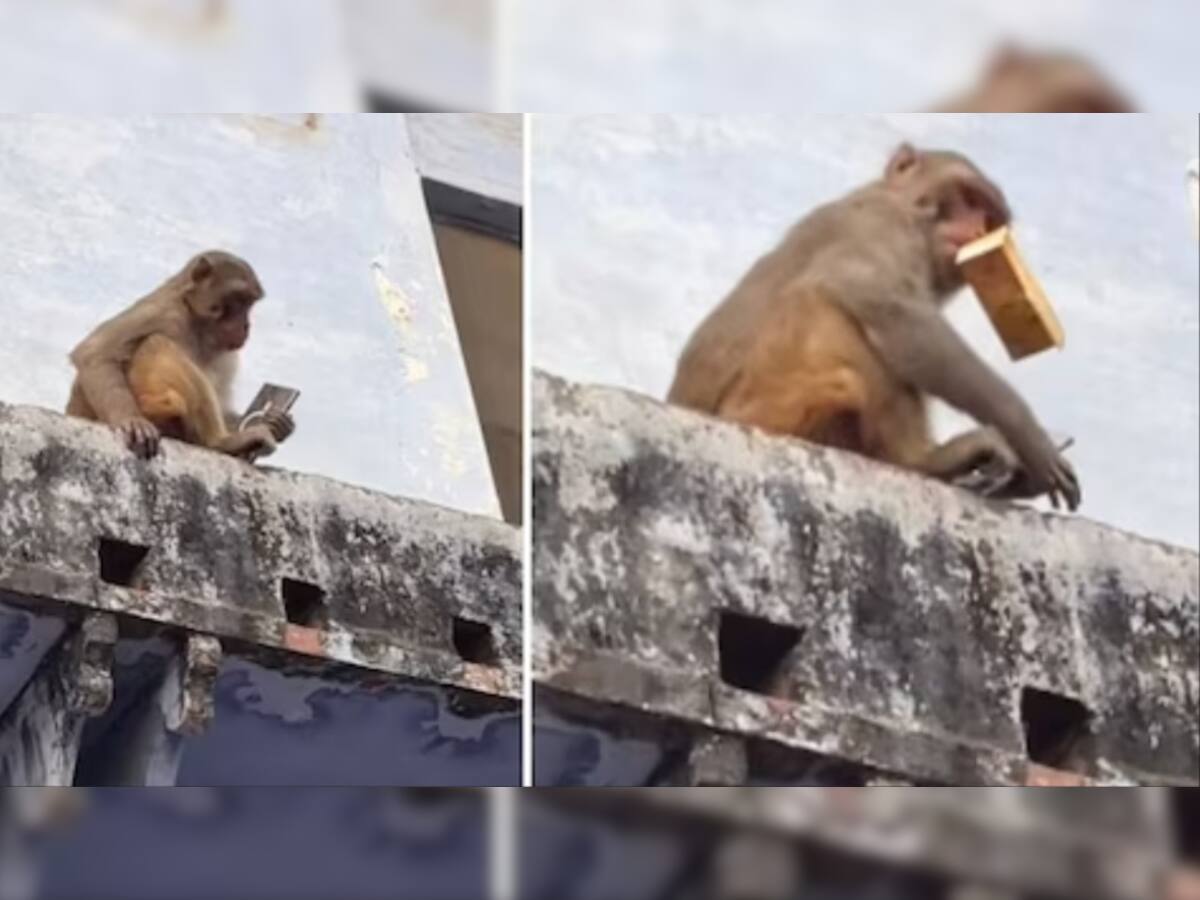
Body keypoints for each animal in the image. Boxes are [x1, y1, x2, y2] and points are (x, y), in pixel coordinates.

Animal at [66, 250, 294, 460]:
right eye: (239, 299)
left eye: (250, 303)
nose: (246, 325)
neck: (197, 321)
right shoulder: (163, 311)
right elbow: (94, 352)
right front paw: (130, 419)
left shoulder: (227, 353)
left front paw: (279, 424)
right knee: (157, 342)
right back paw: (221, 442)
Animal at [667, 143, 1080, 511]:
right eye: (968, 197)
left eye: (989, 216)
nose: (978, 230)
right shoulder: (882, 225)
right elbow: (890, 309)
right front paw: (1025, 433)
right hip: (765, 402)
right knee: (832, 307)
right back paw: (922, 460)